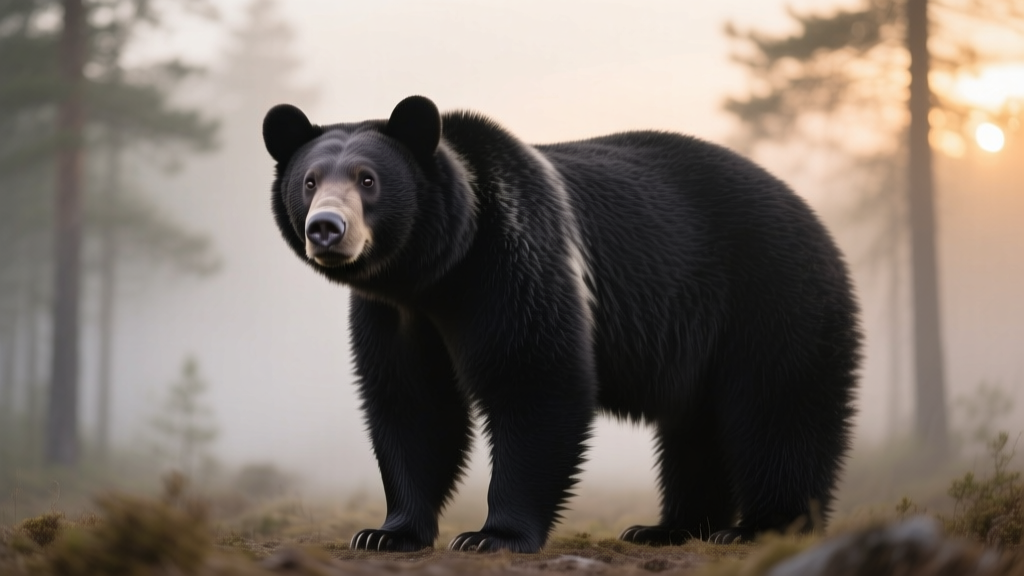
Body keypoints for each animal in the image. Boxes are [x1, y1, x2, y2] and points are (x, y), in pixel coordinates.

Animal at [262, 96, 860, 554]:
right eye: (309, 181)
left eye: (368, 179)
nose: (326, 228)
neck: (440, 271)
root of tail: (814, 217)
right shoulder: (395, 313)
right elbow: (411, 403)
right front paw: (387, 532)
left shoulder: (514, 263)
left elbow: (535, 380)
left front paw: (491, 534)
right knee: (695, 424)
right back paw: (668, 527)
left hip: (770, 295)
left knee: (778, 406)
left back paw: (761, 527)